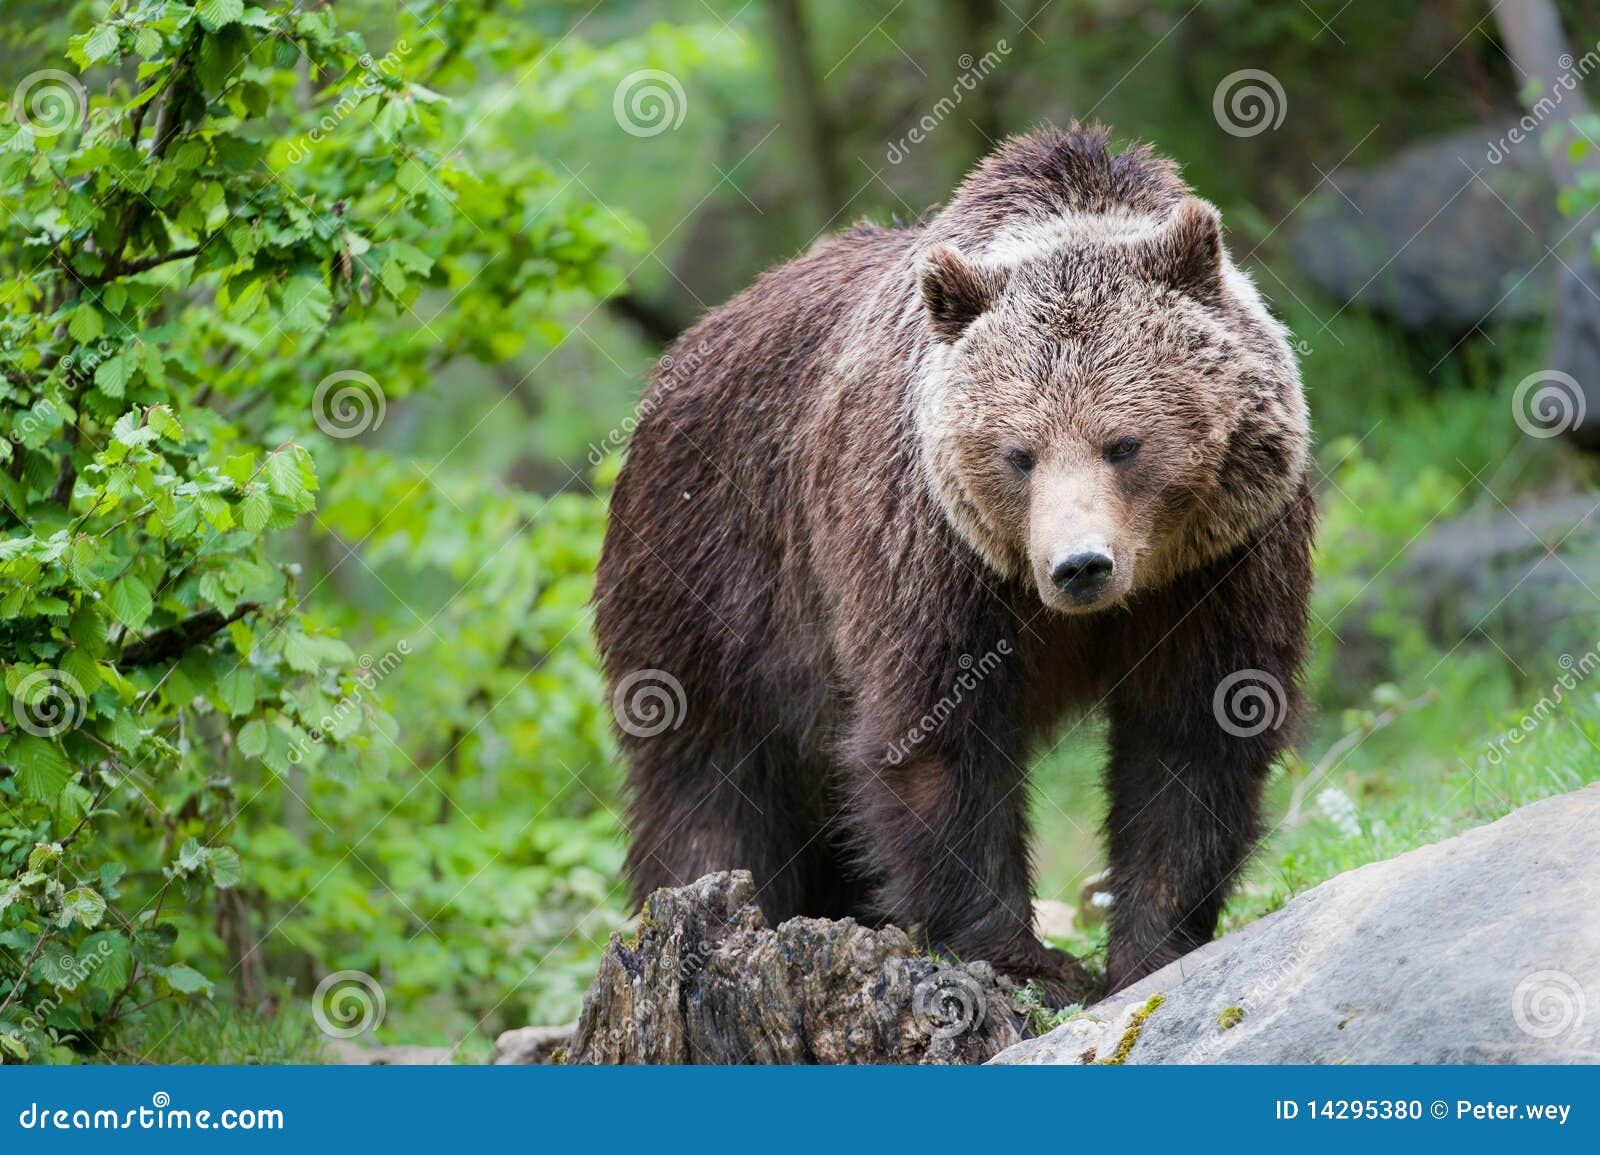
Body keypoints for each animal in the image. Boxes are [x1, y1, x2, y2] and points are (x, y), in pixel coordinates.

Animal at [594, 122, 1314, 1002]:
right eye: (1019, 453)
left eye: (1124, 442)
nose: (1080, 566)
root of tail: (674, 361)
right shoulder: (930, 552)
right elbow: (938, 737)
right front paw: (1026, 958)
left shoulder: (1221, 563)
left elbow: (1193, 734)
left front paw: (1151, 949)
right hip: (707, 578)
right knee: (709, 783)